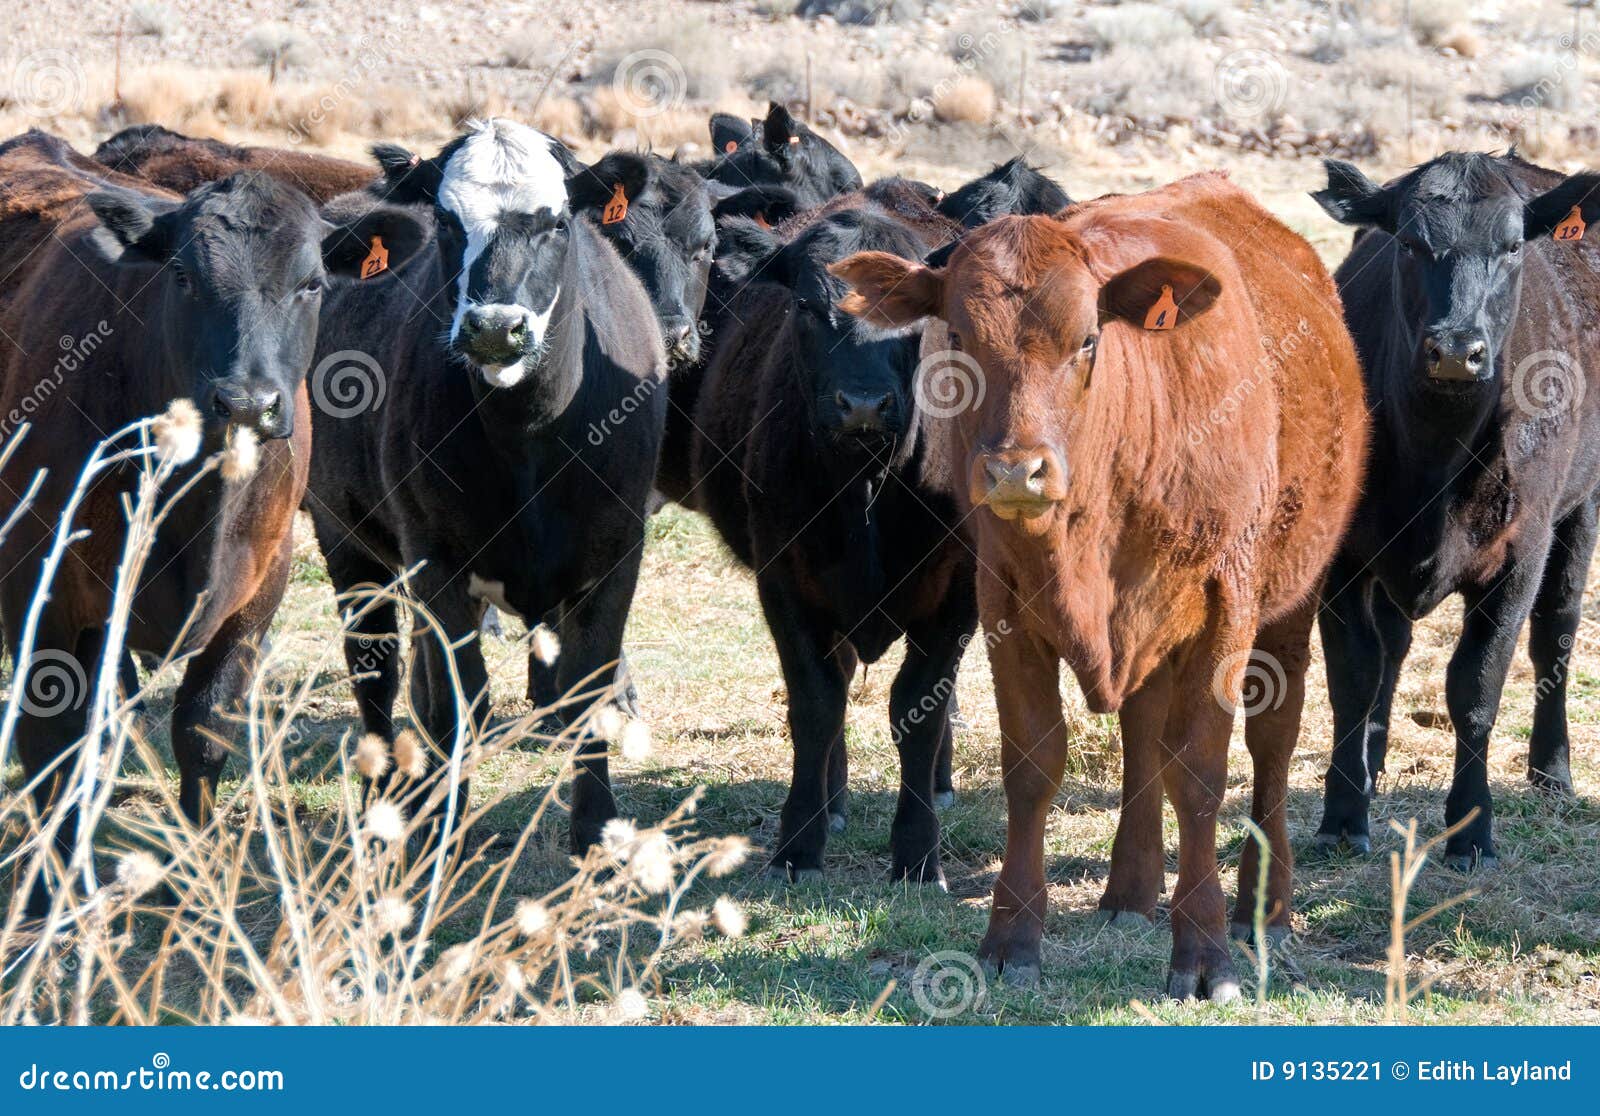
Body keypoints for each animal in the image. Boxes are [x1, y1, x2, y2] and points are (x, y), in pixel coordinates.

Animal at [305, 119, 665, 853]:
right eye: (446, 221)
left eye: (556, 221)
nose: (496, 328)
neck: (528, 434)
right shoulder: (436, 559)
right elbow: (455, 698)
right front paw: (442, 826)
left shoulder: (618, 550)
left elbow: (590, 686)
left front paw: (596, 828)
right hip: (345, 536)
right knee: (376, 670)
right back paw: (383, 794)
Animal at [688, 195, 977, 882]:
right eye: (803, 305)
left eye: (915, 311)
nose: (863, 405)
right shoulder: (785, 581)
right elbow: (817, 704)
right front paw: (798, 845)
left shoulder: (960, 589)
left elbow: (920, 709)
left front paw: (918, 854)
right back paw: (834, 801)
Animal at [832, 172, 1369, 999]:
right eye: (957, 337)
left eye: (1088, 338)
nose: (1015, 471)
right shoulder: (1005, 605)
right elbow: (1033, 766)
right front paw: (1012, 938)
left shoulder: (1226, 607)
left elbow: (1201, 772)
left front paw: (1205, 950)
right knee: (1144, 731)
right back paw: (1129, 891)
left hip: (1293, 594)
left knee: (1272, 743)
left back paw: (1265, 906)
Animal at [1310, 153, 1600, 869]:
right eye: (1410, 243)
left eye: (1512, 246)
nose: (1455, 351)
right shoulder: (1343, 556)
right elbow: (1354, 675)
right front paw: (1343, 814)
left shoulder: (1521, 556)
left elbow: (1477, 684)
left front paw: (1471, 828)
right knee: (1393, 647)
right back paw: (1375, 759)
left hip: (1580, 512)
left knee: (1557, 632)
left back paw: (1553, 774)